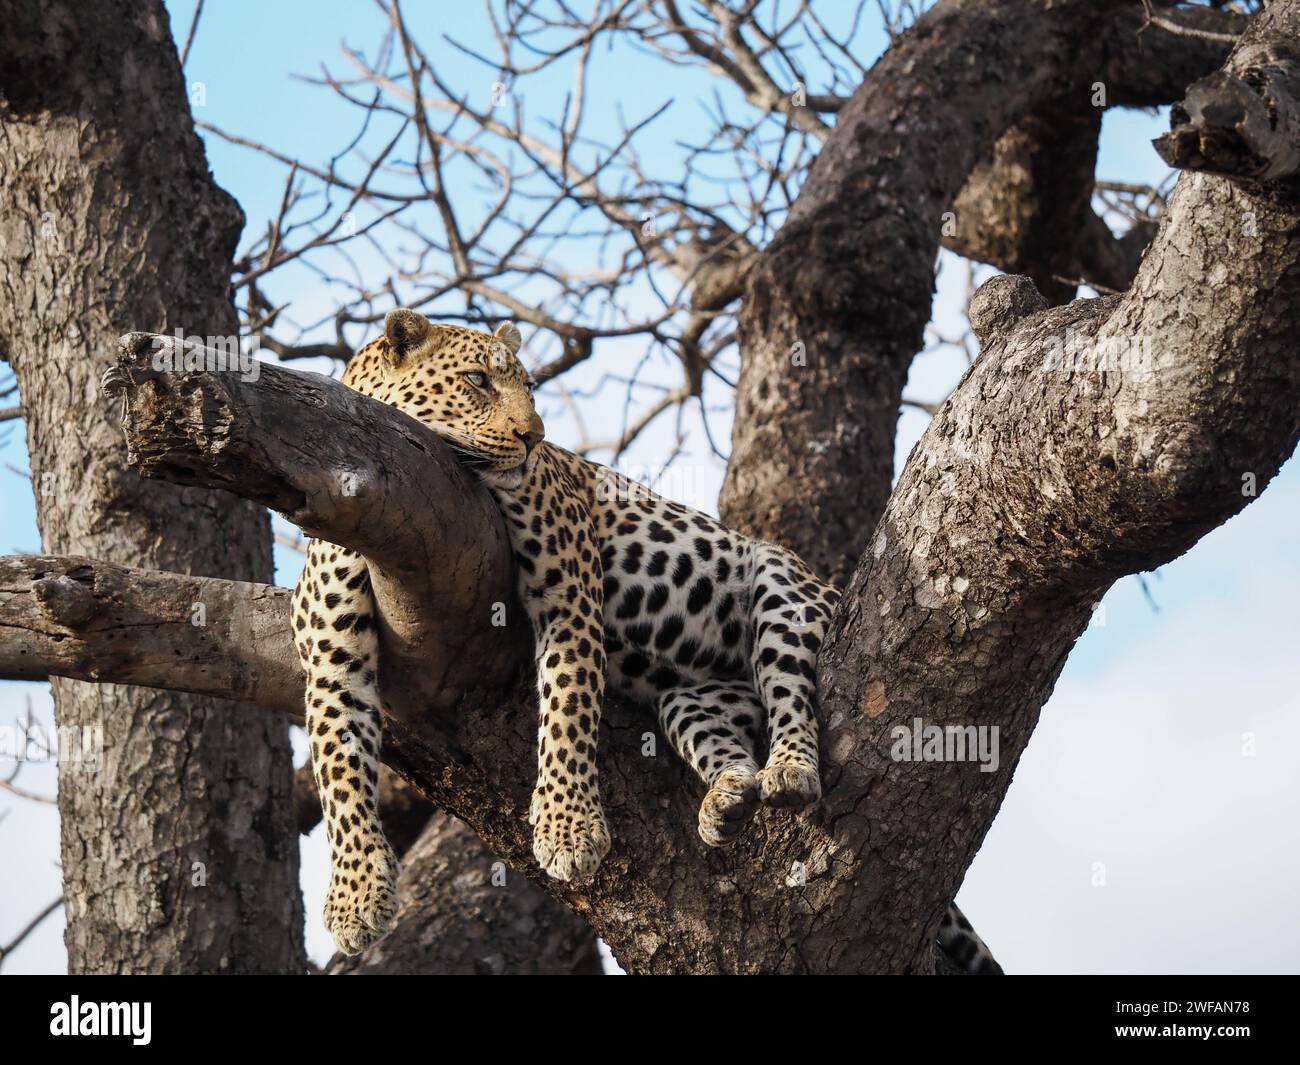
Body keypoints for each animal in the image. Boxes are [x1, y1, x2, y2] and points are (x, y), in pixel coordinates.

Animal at [292, 308, 1001, 974]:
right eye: (477, 381)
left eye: (527, 387)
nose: (534, 437)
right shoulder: (332, 659)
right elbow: (337, 769)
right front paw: (355, 898)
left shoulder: (570, 584)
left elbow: (569, 710)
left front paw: (568, 831)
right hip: (691, 701)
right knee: (727, 737)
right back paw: (727, 801)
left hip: (781, 582)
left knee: (793, 700)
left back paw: (791, 771)